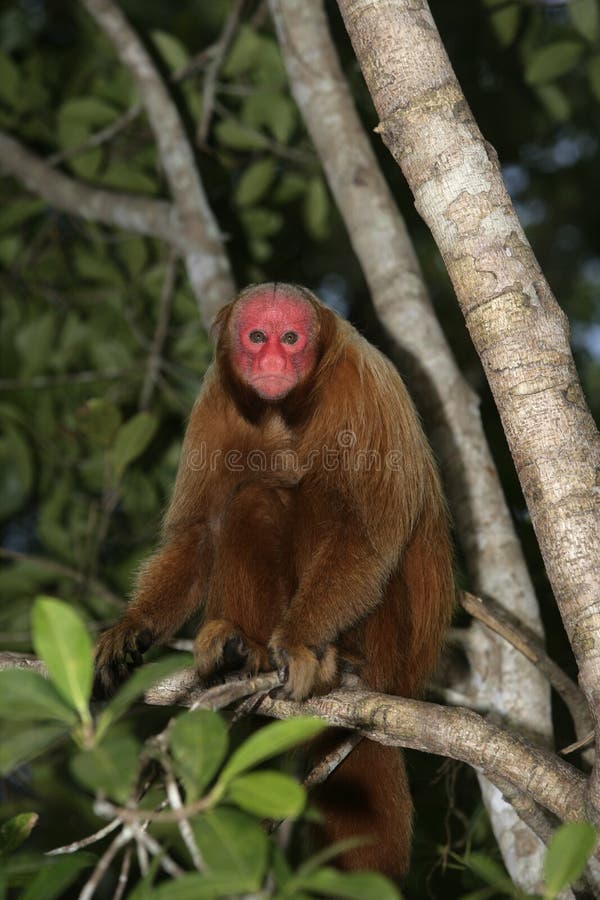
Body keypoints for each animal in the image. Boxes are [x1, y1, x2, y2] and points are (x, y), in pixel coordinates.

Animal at [94, 282, 454, 878]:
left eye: (291, 338)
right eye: (257, 336)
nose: (272, 364)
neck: (284, 410)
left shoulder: (364, 388)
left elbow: (367, 538)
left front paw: (302, 643)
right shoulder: (215, 401)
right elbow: (199, 535)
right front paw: (134, 625)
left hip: (391, 644)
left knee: (322, 496)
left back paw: (336, 662)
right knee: (254, 502)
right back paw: (244, 648)